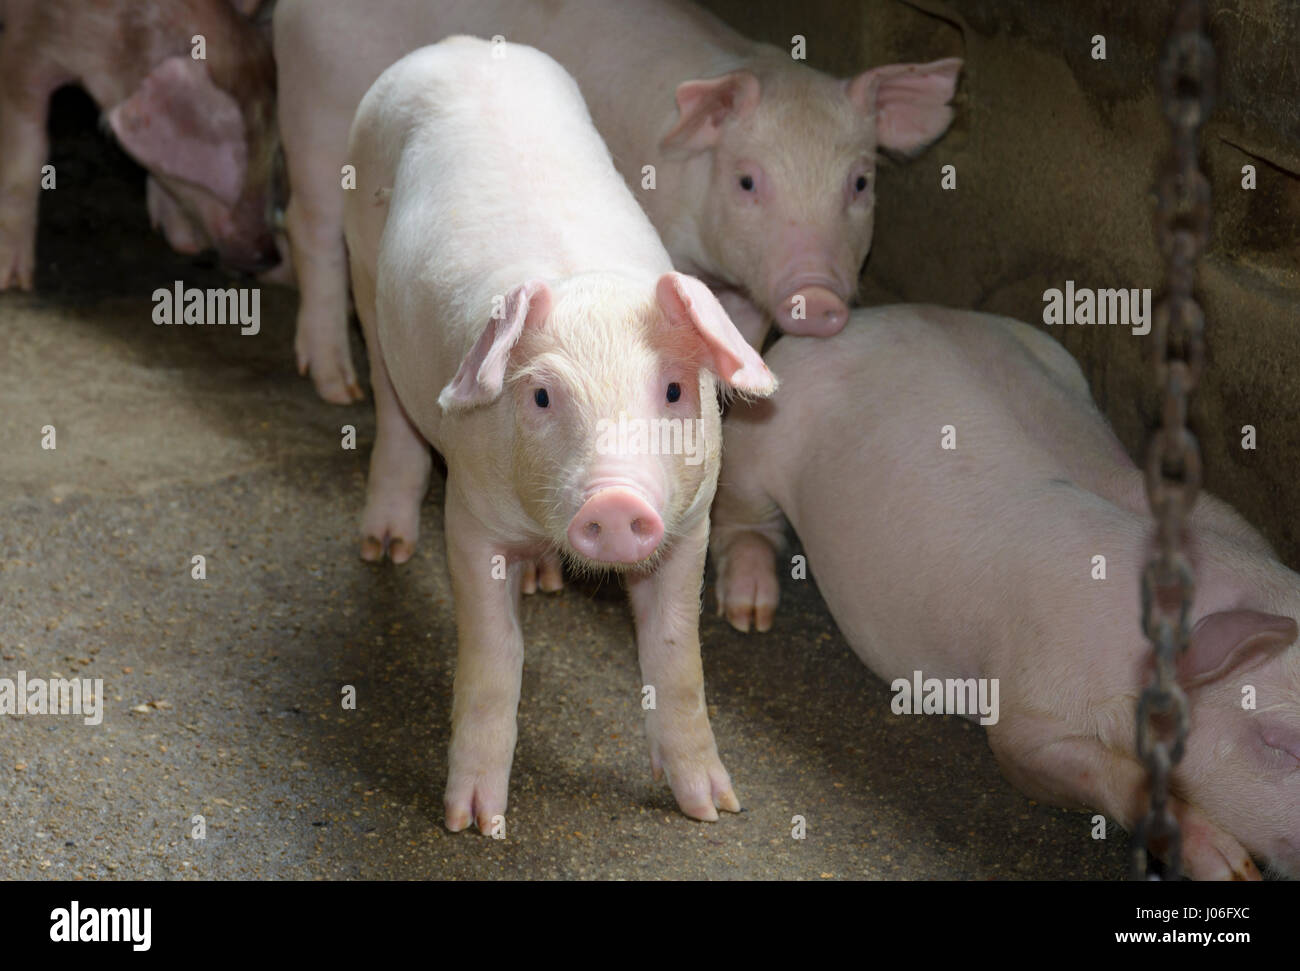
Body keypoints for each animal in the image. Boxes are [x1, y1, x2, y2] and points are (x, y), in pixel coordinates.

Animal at [0, 0, 280, 289]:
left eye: (274, 154)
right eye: (233, 160)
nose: (271, 257)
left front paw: (190, 246)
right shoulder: (29, 40)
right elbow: (25, 157)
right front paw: (14, 282)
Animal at [275, 0, 960, 403]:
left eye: (861, 183)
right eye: (746, 180)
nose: (817, 299)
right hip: (320, 105)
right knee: (311, 227)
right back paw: (339, 387)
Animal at [342, 37, 777, 831]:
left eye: (674, 390)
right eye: (542, 395)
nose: (615, 502)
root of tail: (461, 44)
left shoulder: (691, 522)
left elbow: (678, 658)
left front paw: (715, 808)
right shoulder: (471, 517)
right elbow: (494, 656)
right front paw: (473, 823)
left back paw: (542, 580)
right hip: (359, 245)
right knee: (392, 411)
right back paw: (385, 548)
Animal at [711, 305, 1300, 880]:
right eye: (1277, 743)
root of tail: (859, 317)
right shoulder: (1028, 706)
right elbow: (1066, 764)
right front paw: (1231, 869)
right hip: (755, 436)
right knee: (741, 520)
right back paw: (750, 610)